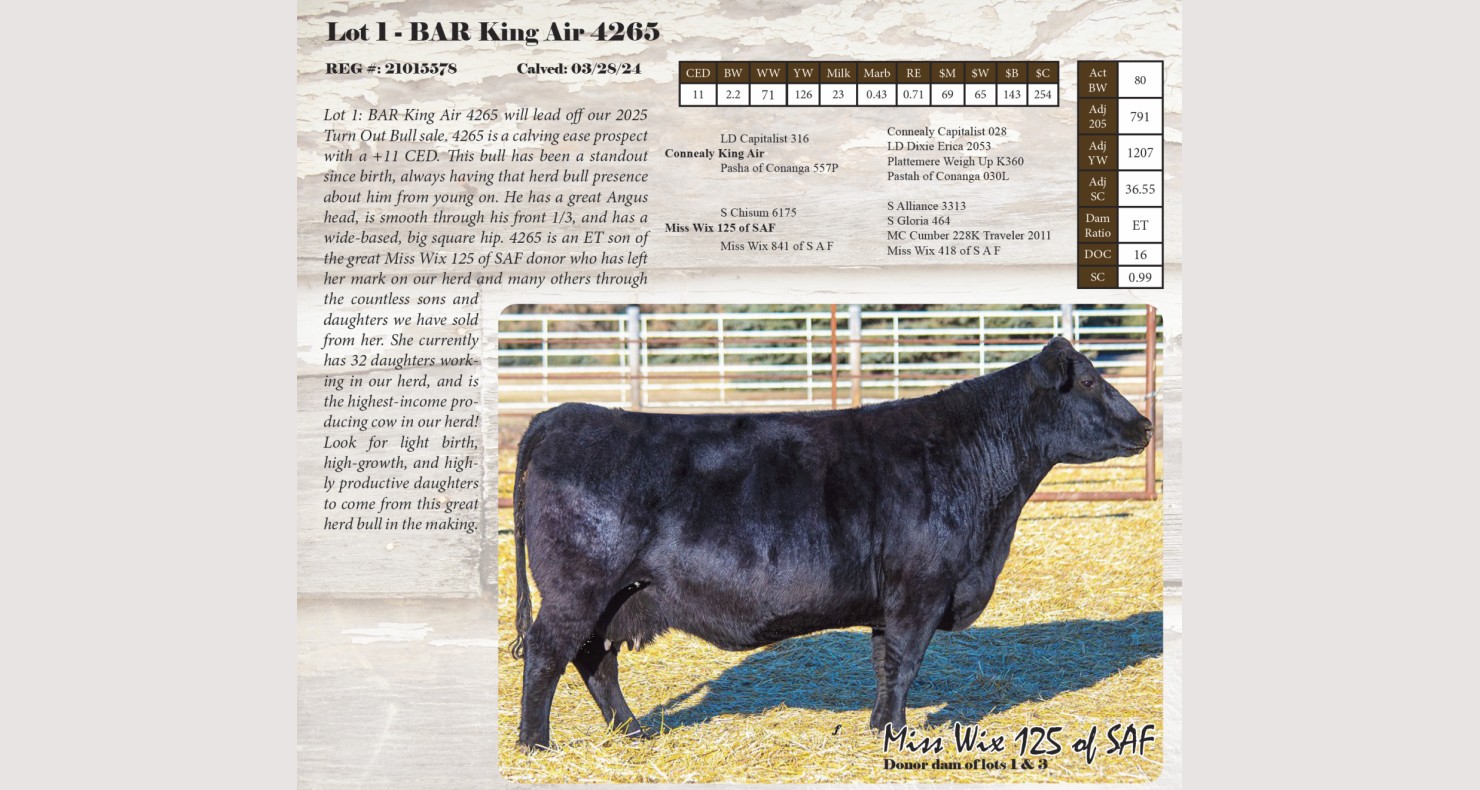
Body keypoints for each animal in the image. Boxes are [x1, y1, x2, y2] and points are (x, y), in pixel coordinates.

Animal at [508, 336, 1153, 750]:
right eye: (1089, 381)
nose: (1146, 426)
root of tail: (559, 417)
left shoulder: (890, 603)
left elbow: (885, 665)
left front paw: (883, 728)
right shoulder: (921, 591)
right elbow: (906, 663)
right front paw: (894, 734)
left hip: (617, 596)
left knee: (594, 660)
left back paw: (633, 730)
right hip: (577, 589)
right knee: (548, 653)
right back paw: (537, 745)